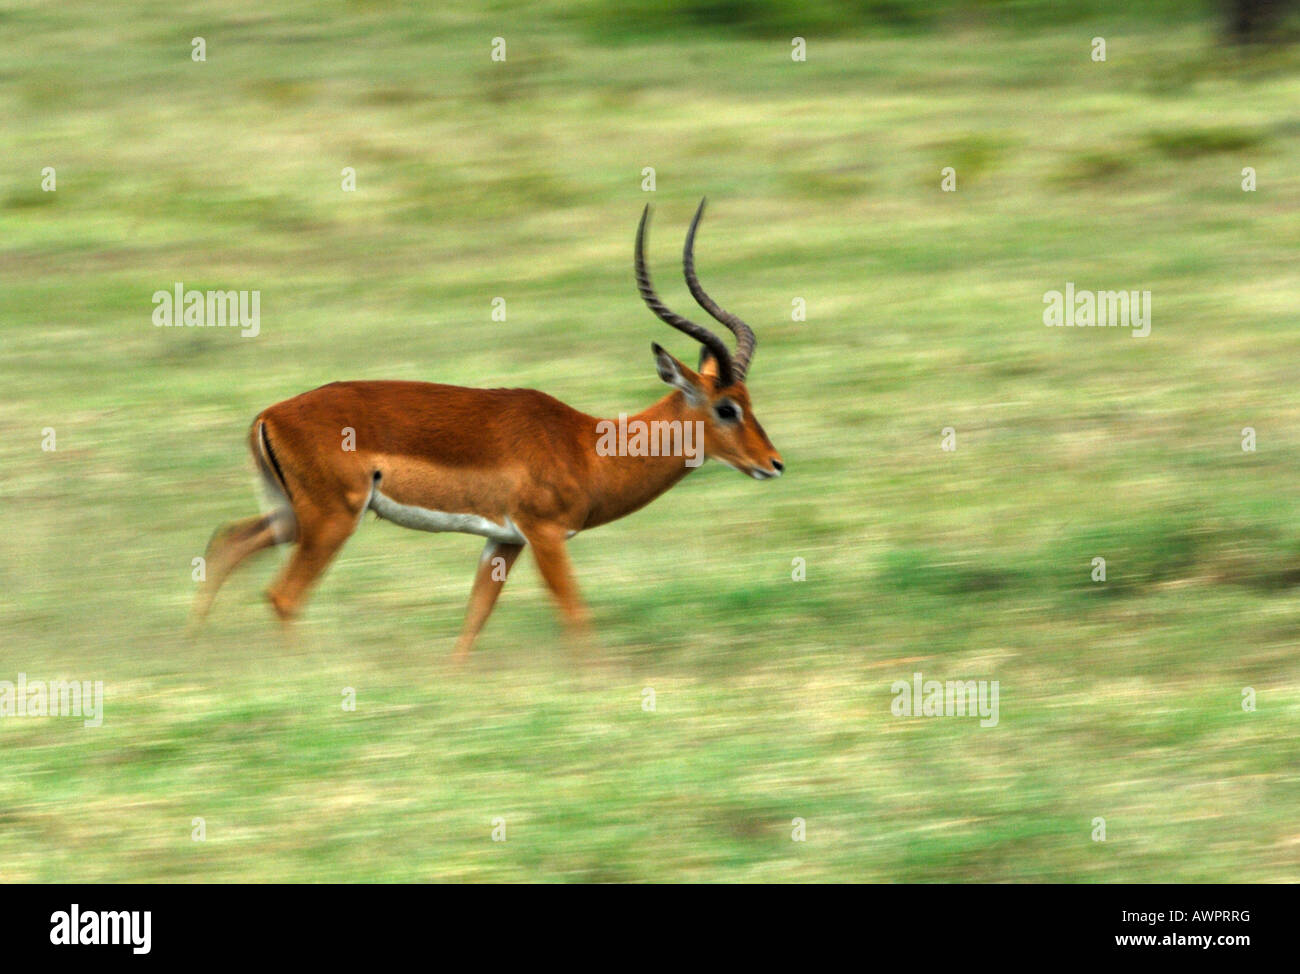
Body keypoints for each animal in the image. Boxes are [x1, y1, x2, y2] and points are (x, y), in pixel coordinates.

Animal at [192, 200, 784, 659]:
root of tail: (270, 414)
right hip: (332, 518)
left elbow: (472, 621)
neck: (587, 445)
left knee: (226, 542)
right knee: (283, 595)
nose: (774, 463)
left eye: (750, 401)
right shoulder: (544, 534)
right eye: (727, 407)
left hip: (293, 515)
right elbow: (576, 615)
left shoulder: (503, 540)